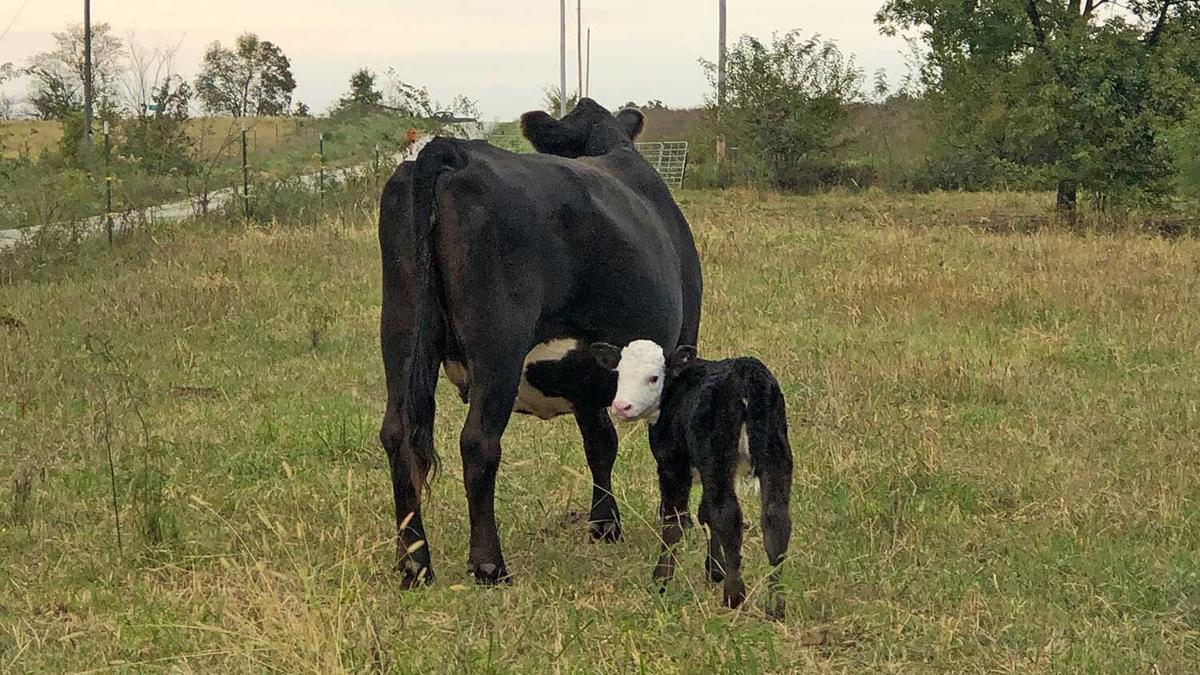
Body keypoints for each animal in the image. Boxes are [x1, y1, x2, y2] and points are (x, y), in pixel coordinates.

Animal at [378, 99, 703, 588]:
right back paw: (488, 565)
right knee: (478, 442)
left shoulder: (588, 372)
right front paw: (670, 523)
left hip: (400, 331)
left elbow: (600, 442)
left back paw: (414, 563)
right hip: (498, 344)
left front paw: (604, 525)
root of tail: (452, 151)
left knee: (399, 434)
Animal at [591, 340, 794, 619]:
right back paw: (776, 605)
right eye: (619, 374)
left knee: (728, 515)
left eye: (654, 378)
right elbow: (705, 514)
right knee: (776, 520)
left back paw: (734, 597)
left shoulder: (672, 464)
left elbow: (674, 520)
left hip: (716, 456)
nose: (621, 407)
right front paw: (715, 571)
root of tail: (746, 377)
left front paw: (661, 581)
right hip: (776, 455)